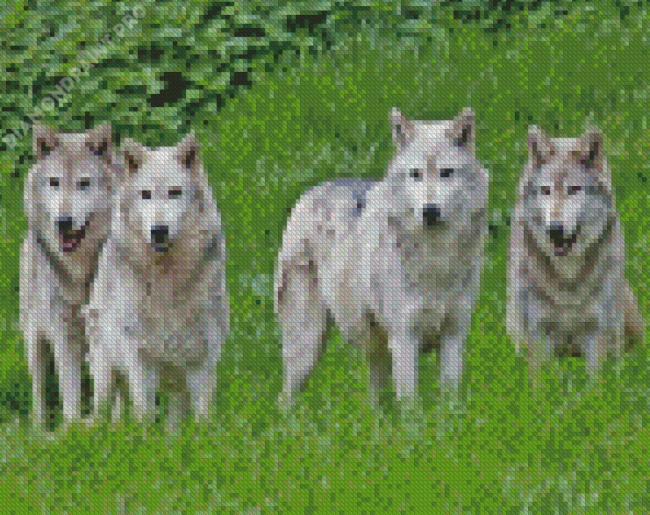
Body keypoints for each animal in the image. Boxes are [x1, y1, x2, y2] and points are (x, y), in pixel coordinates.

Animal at [20, 123, 121, 427]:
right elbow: (70, 389)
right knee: (39, 390)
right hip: (34, 340)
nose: (63, 222)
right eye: (54, 182)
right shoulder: (61, 331)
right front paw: (73, 428)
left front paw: (116, 426)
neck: (80, 270)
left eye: (83, 183)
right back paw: (40, 429)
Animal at [84, 134, 229, 427]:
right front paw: (145, 439)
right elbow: (145, 413)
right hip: (107, 374)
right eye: (145, 194)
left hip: (175, 380)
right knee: (104, 413)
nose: (158, 231)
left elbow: (203, 416)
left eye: (175, 192)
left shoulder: (203, 354)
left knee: (174, 418)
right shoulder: (139, 354)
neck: (166, 280)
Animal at [275, 108, 490, 406]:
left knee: (374, 399)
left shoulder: (454, 335)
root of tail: (315, 189)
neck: (436, 259)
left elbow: (449, 400)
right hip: (307, 346)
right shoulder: (403, 338)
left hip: (372, 349)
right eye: (416, 174)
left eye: (446, 173)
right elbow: (410, 404)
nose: (430, 210)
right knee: (285, 399)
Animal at [506, 125, 644, 380]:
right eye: (546, 190)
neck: (567, 281)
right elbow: (539, 384)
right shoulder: (537, 333)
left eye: (574, 189)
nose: (554, 229)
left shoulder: (597, 332)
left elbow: (596, 382)